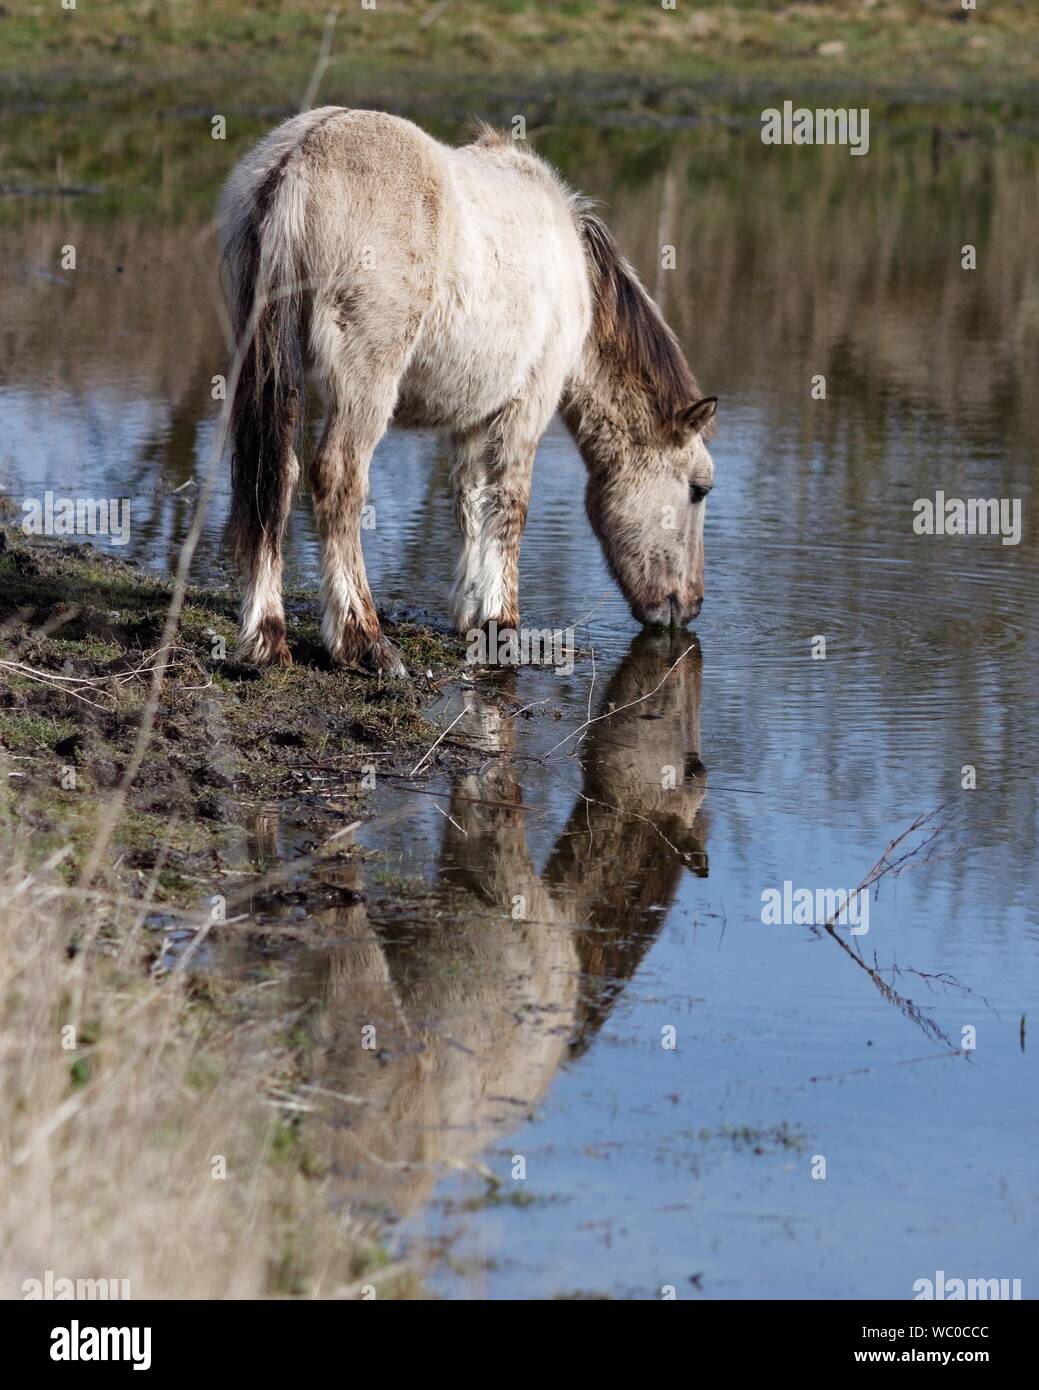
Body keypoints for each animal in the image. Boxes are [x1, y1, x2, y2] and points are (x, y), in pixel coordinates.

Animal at [219, 107, 717, 674]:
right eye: (699, 489)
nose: (689, 607)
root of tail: (297, 160)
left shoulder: (477, 413)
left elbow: (471, 501)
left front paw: (472, 612)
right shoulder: (527, 403)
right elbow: (511, 503)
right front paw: (503, 624)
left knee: (274, 476)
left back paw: (266, 637)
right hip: (363, 382)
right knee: (338, 481)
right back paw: (362, 639)